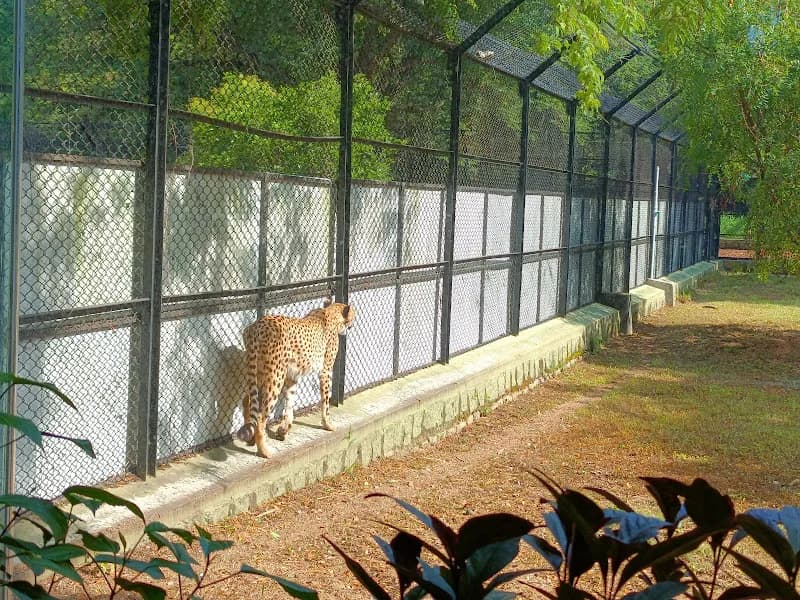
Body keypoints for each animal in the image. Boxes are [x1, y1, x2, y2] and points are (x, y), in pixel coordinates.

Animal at [235, 298, 356, 458]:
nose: (353, 323)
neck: (330, 313)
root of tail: (258, 325)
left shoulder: (292, 376)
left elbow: (290, 404)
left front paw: (283, 430)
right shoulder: (325, 371)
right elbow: (325, 402)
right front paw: (328, 424)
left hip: (258, 372)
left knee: (247, 401)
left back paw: (251, 438)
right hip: (275, 376)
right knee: (261, 417)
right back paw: (264, 451)